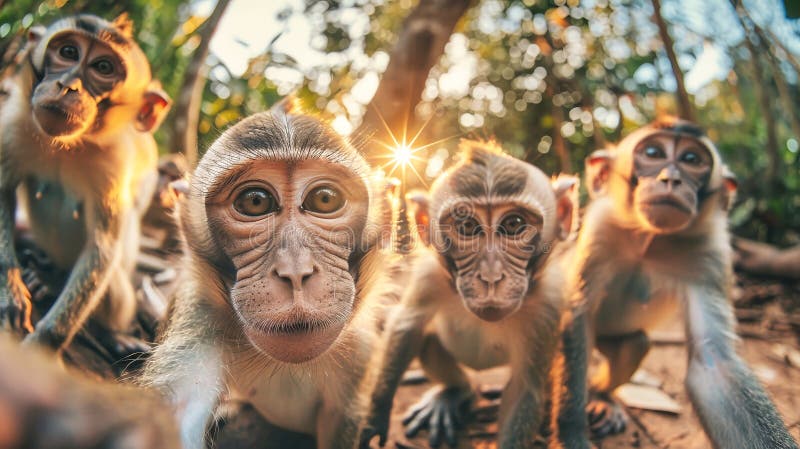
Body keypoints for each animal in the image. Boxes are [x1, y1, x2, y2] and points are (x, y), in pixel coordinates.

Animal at [0, 14, 170, 356]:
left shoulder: (114, 166)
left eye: (103, 68)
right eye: (68, 51)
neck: (66, 145)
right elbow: (1, 192)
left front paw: (44, 346)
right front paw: (10, 290)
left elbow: (100, 248)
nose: (68, 86)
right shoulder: (14, 123)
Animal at [358, 140, 579, 449]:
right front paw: (376, 413)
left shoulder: (548, 302)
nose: (490, 276)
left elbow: (524, 389)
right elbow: (408, 325)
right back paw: (455, 394)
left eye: (514, 225)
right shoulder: (430, 276)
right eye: (466, 227)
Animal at [551, 118, 799, 449]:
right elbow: (578, 318)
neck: (649, 240)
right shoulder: (600, 230)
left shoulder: (711, 252)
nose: (671, 178)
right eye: (653, 153)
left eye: (692, 159)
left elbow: (713, 362)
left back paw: (602, 396)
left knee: (636, 344)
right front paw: (571, 435)